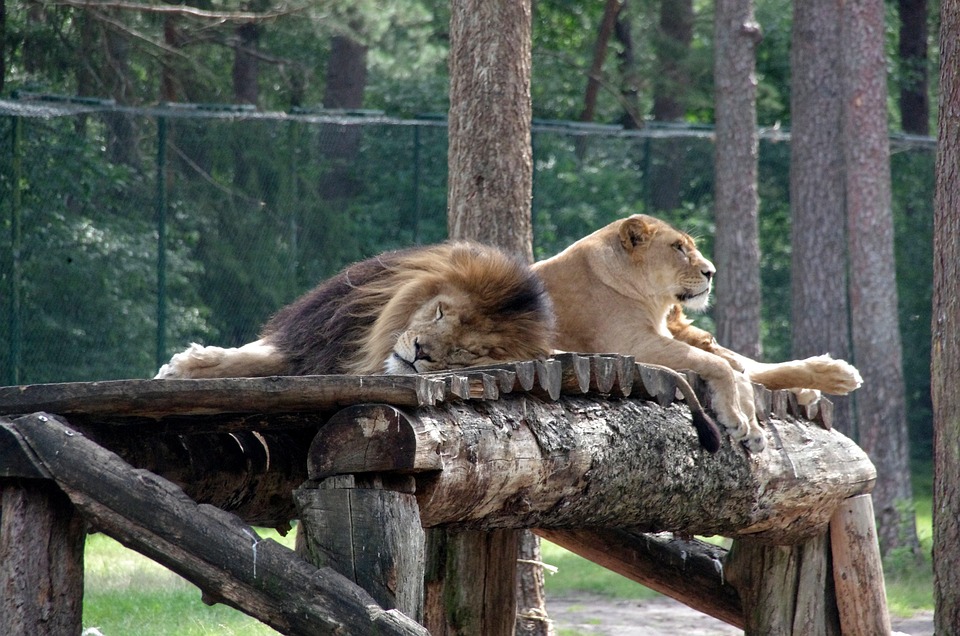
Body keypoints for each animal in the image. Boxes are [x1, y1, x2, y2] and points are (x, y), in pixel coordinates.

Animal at [155, 242, 555, 379]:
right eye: (441, 312)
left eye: (466, 352)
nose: (420, 352)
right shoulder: (316, 341)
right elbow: (255, 357)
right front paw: (182, 367)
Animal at [533, 214, 862, 453]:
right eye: (677, 247)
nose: (711, 272)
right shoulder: (630, 344)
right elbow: (720, 366)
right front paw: (737, 417)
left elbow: (731, 369)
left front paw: (747, 423)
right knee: (738, 366)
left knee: (746, 365)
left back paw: (835, 375)